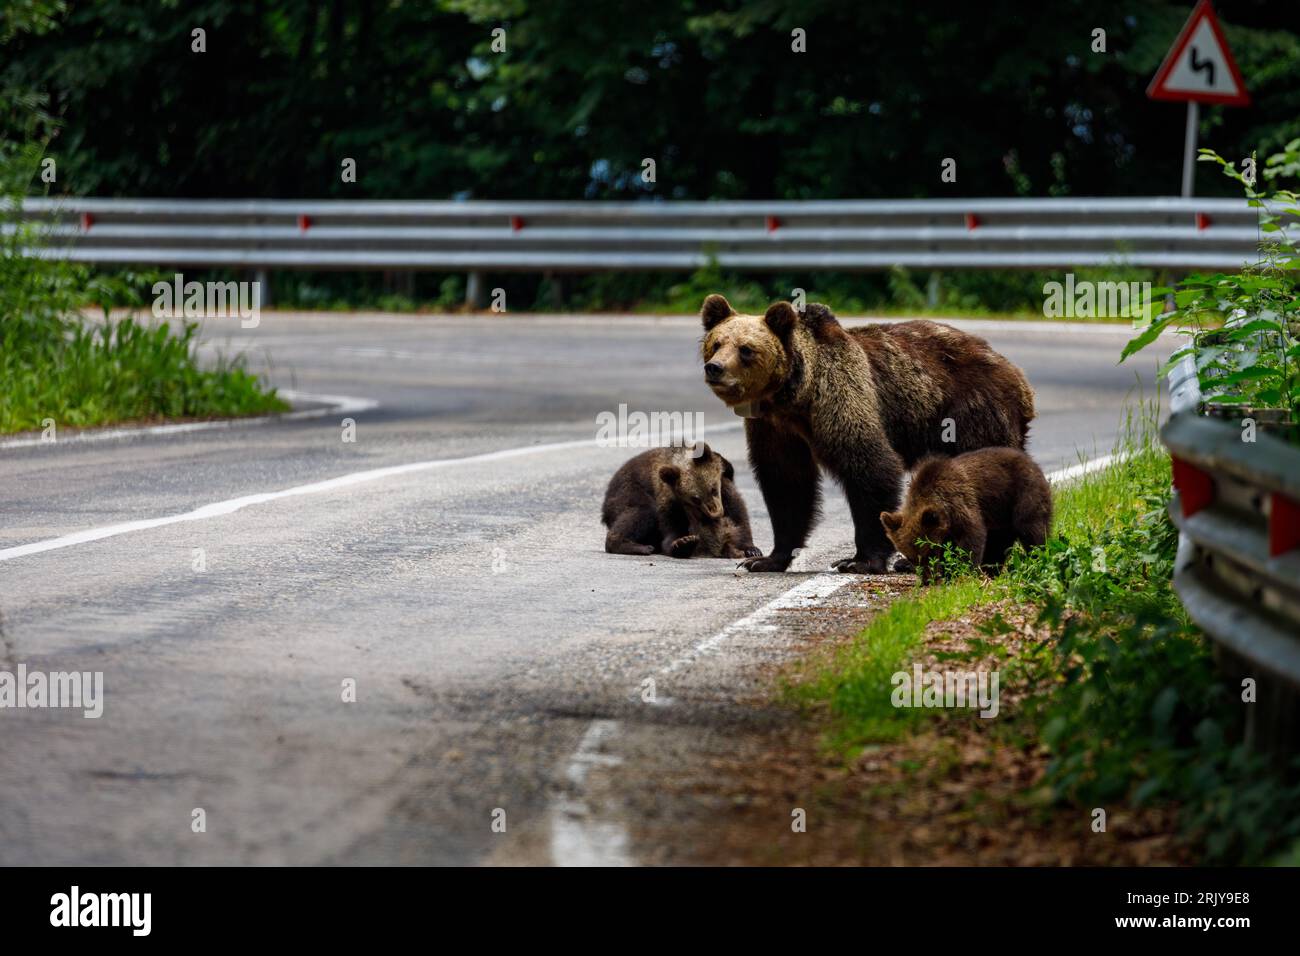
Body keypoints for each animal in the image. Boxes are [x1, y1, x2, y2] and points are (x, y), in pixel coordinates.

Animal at [601, 442, 761, 559]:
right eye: (695, 499)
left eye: (713, 489)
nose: (715, 512)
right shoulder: (668, 498)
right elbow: (670, 528)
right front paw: (683, 543)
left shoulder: (725, 485)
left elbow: (738, 514)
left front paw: (751, 549)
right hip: (627, 491)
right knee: (643, 510)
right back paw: (637, 547)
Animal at [700, 294, 1035, 574]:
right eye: (716, 343)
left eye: (746, 349)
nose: (714, 368)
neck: (793, 398)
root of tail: (1017, 376)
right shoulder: (774, 428)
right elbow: (786, 484)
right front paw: (766, 559)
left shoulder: (840, 398)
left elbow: (870, 468)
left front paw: (859, 560)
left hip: (972, 413)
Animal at [880, 448, 1052, 583]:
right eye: (911, 557)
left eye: (929, 553)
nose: (927, 580)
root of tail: (1032, 462)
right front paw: (947, 574)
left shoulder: (961, 505)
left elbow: (972, 538)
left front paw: (963, 572)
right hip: (1001, 517)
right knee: (998, 543)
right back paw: (991, 570)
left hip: (1023, 495)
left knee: (1032, 530)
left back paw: (1038, 560)